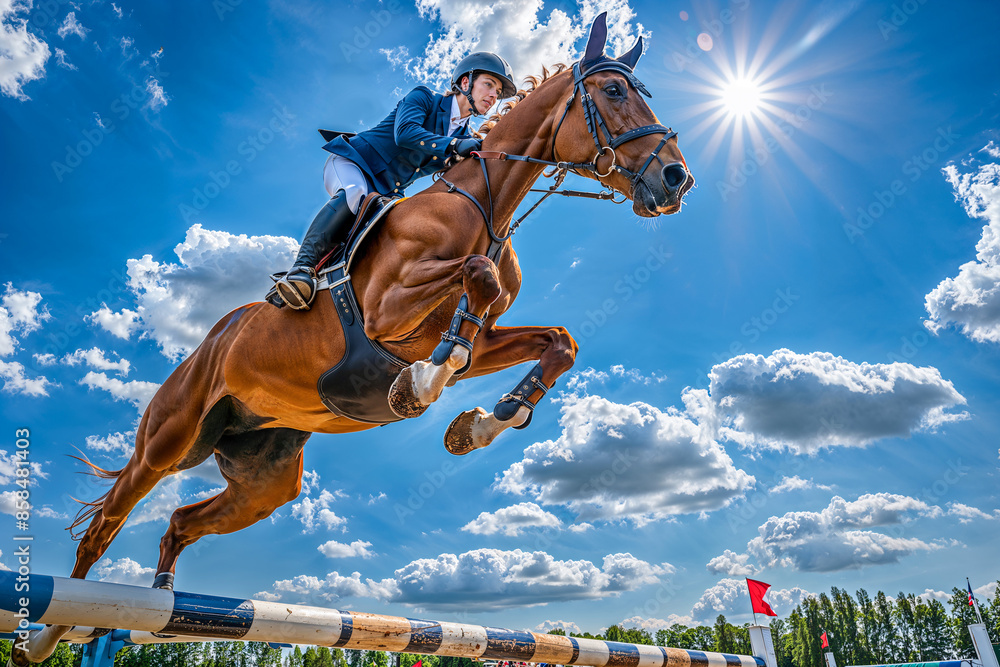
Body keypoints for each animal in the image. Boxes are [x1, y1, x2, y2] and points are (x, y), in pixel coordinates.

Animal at [15, 14, 693, 665]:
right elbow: (479, 276)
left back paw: (160, 604)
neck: (484, 206)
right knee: (106, 522)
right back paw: (45, 636)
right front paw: (422, 388)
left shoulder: (473, 339)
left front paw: (480, 424)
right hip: (169, 440)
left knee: (181, 521)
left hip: (264, 479)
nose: (676, 179)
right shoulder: (388, 312)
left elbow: (553, 339)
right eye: (613, 91)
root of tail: (209, 342)